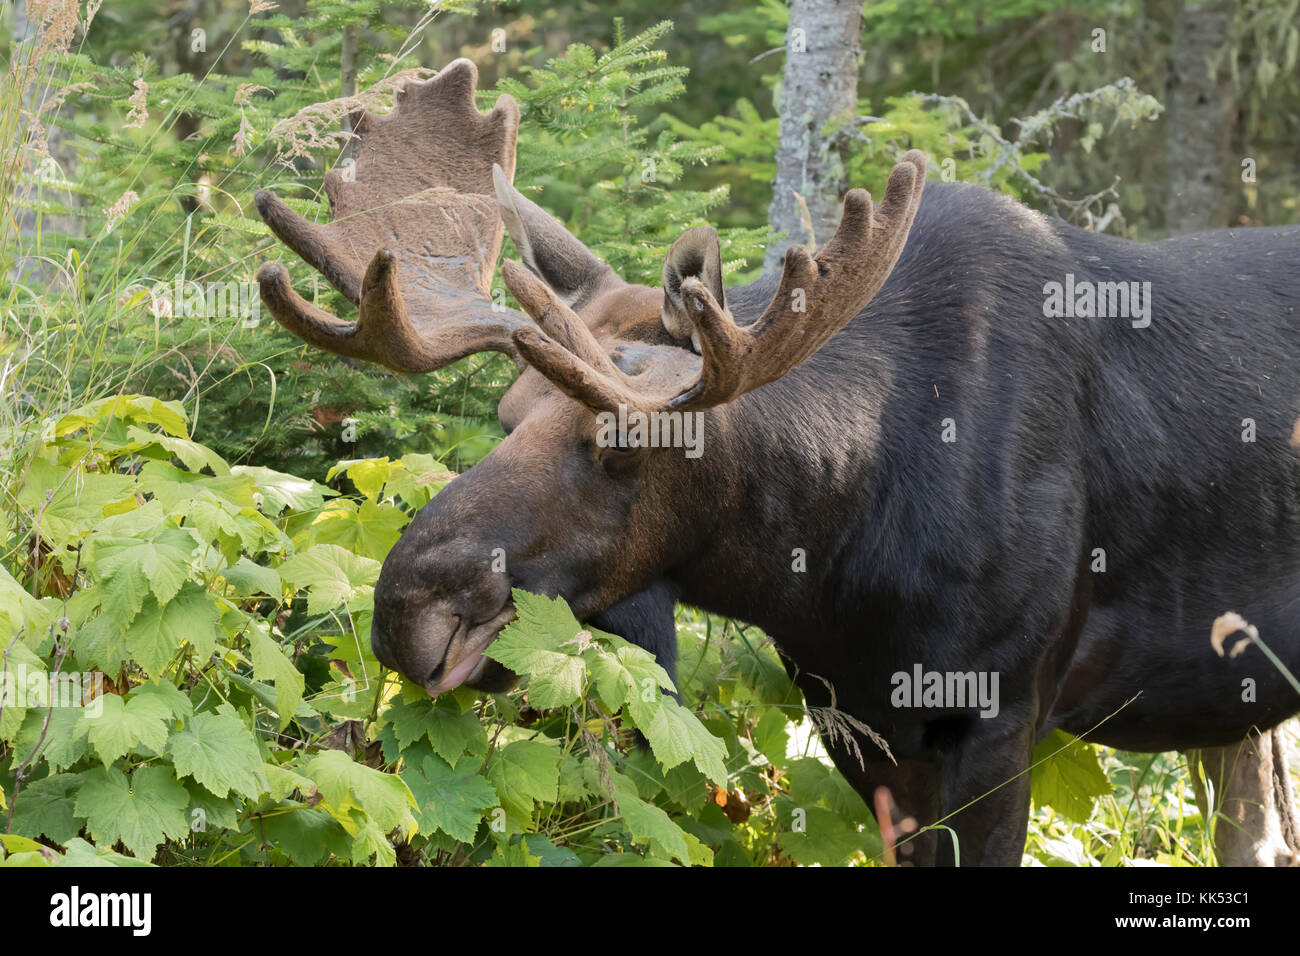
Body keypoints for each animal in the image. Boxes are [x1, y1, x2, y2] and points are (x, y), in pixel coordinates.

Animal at [254, 59, 1300, 866]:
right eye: (506, 413)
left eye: (618, 441)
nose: (405, 609)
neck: (826, 556)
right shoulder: (856, 723)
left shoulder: (1000, 715)